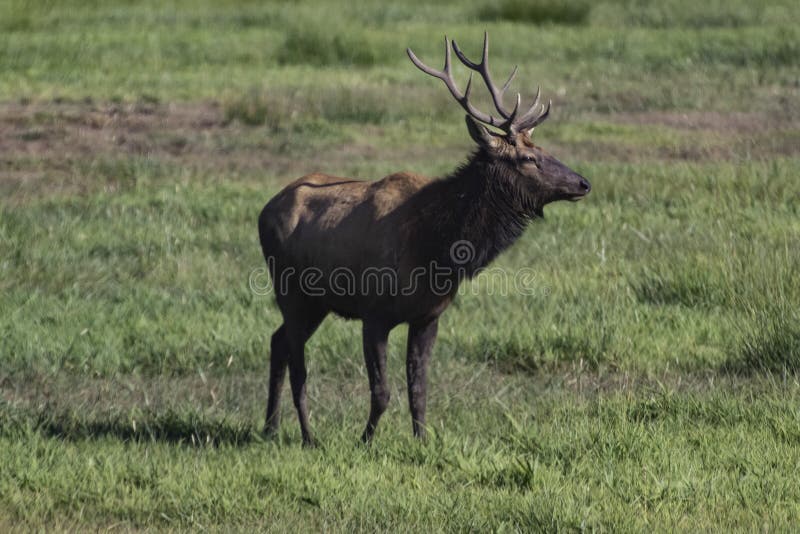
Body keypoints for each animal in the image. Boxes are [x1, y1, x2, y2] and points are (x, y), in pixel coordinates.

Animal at [258, 33, 591, 446]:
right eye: (528, 158)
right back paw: (307, 435)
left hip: (316, 303)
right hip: (290, 290)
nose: (583, 182)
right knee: (296, 360)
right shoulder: (374, 314)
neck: (438, 251)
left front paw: (423, 441)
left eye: (544, 149)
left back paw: (270, 427)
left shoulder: (428, 316)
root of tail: (264, 210)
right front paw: (365, 440)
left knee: (278, 342)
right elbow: (382, 391)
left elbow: (419, 387)